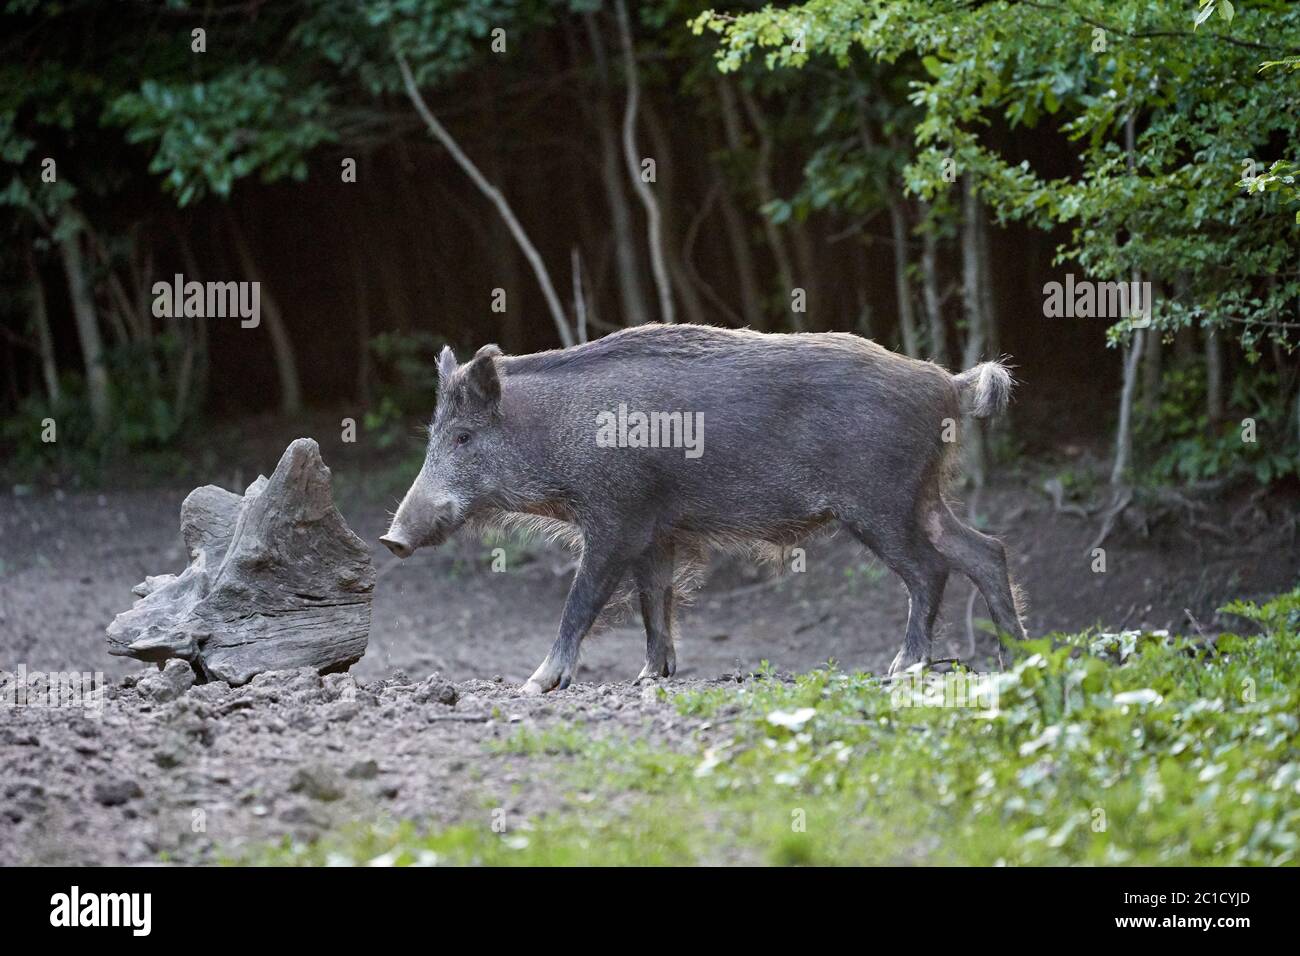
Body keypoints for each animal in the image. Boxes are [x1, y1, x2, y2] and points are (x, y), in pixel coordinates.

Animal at [381, 323, 1026, 695]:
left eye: (463, 436)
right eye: (434, 433)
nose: (392, 539)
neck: (556, 434)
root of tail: (951, 384)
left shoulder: (617, 519)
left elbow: (583, 600)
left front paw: (537, 684)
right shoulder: (656, 530)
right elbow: (654, 601)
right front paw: (650, 676)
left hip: (880, 504)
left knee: (931, 569)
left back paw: (902, 668)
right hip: (922, 498)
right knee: (986, 551)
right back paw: (1014, 655)